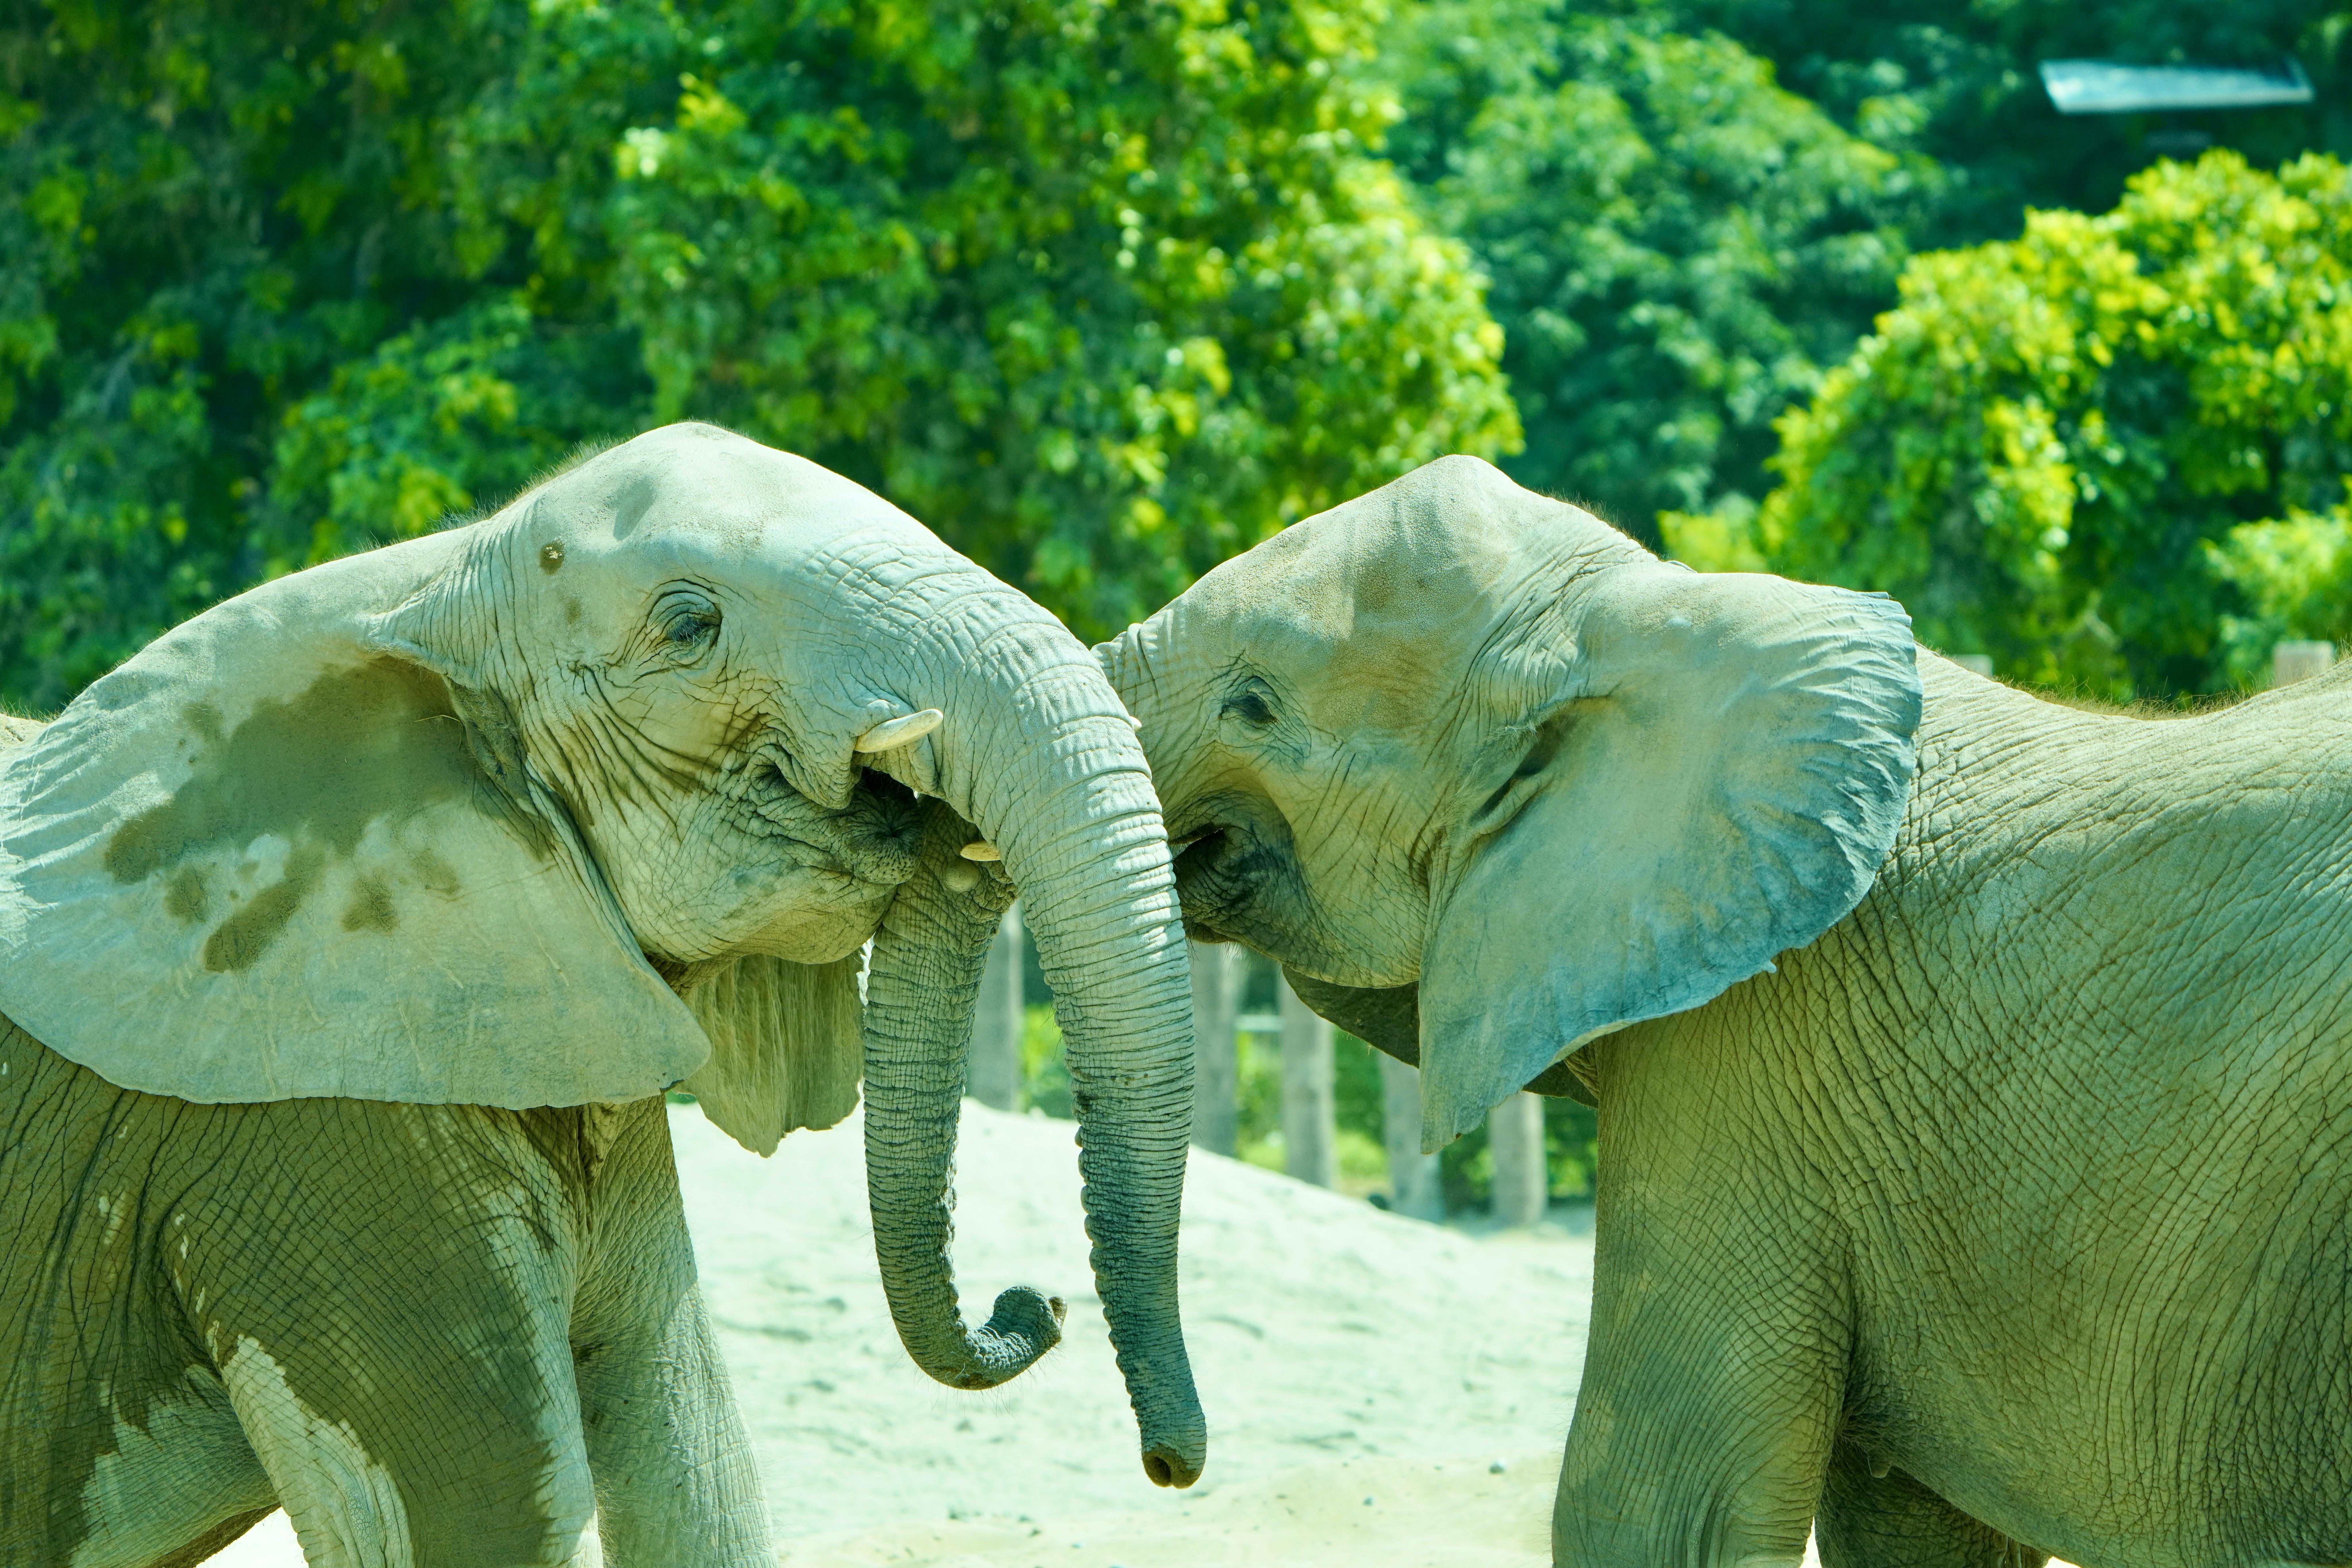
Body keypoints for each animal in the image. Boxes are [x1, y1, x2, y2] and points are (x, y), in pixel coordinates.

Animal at [0, 422, 1204, 1568]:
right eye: (689, 628)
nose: (1034, 1306)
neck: (425, 584)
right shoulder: (310, 1119)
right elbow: (477, 1512)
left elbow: (694, 1461)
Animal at [1098, 453, 2352, 1568]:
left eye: (1252, 707)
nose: (1171, 1469)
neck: (1640, 613)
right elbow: (1915, 1527)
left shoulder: (1744, 1060)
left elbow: (1657, 1516)